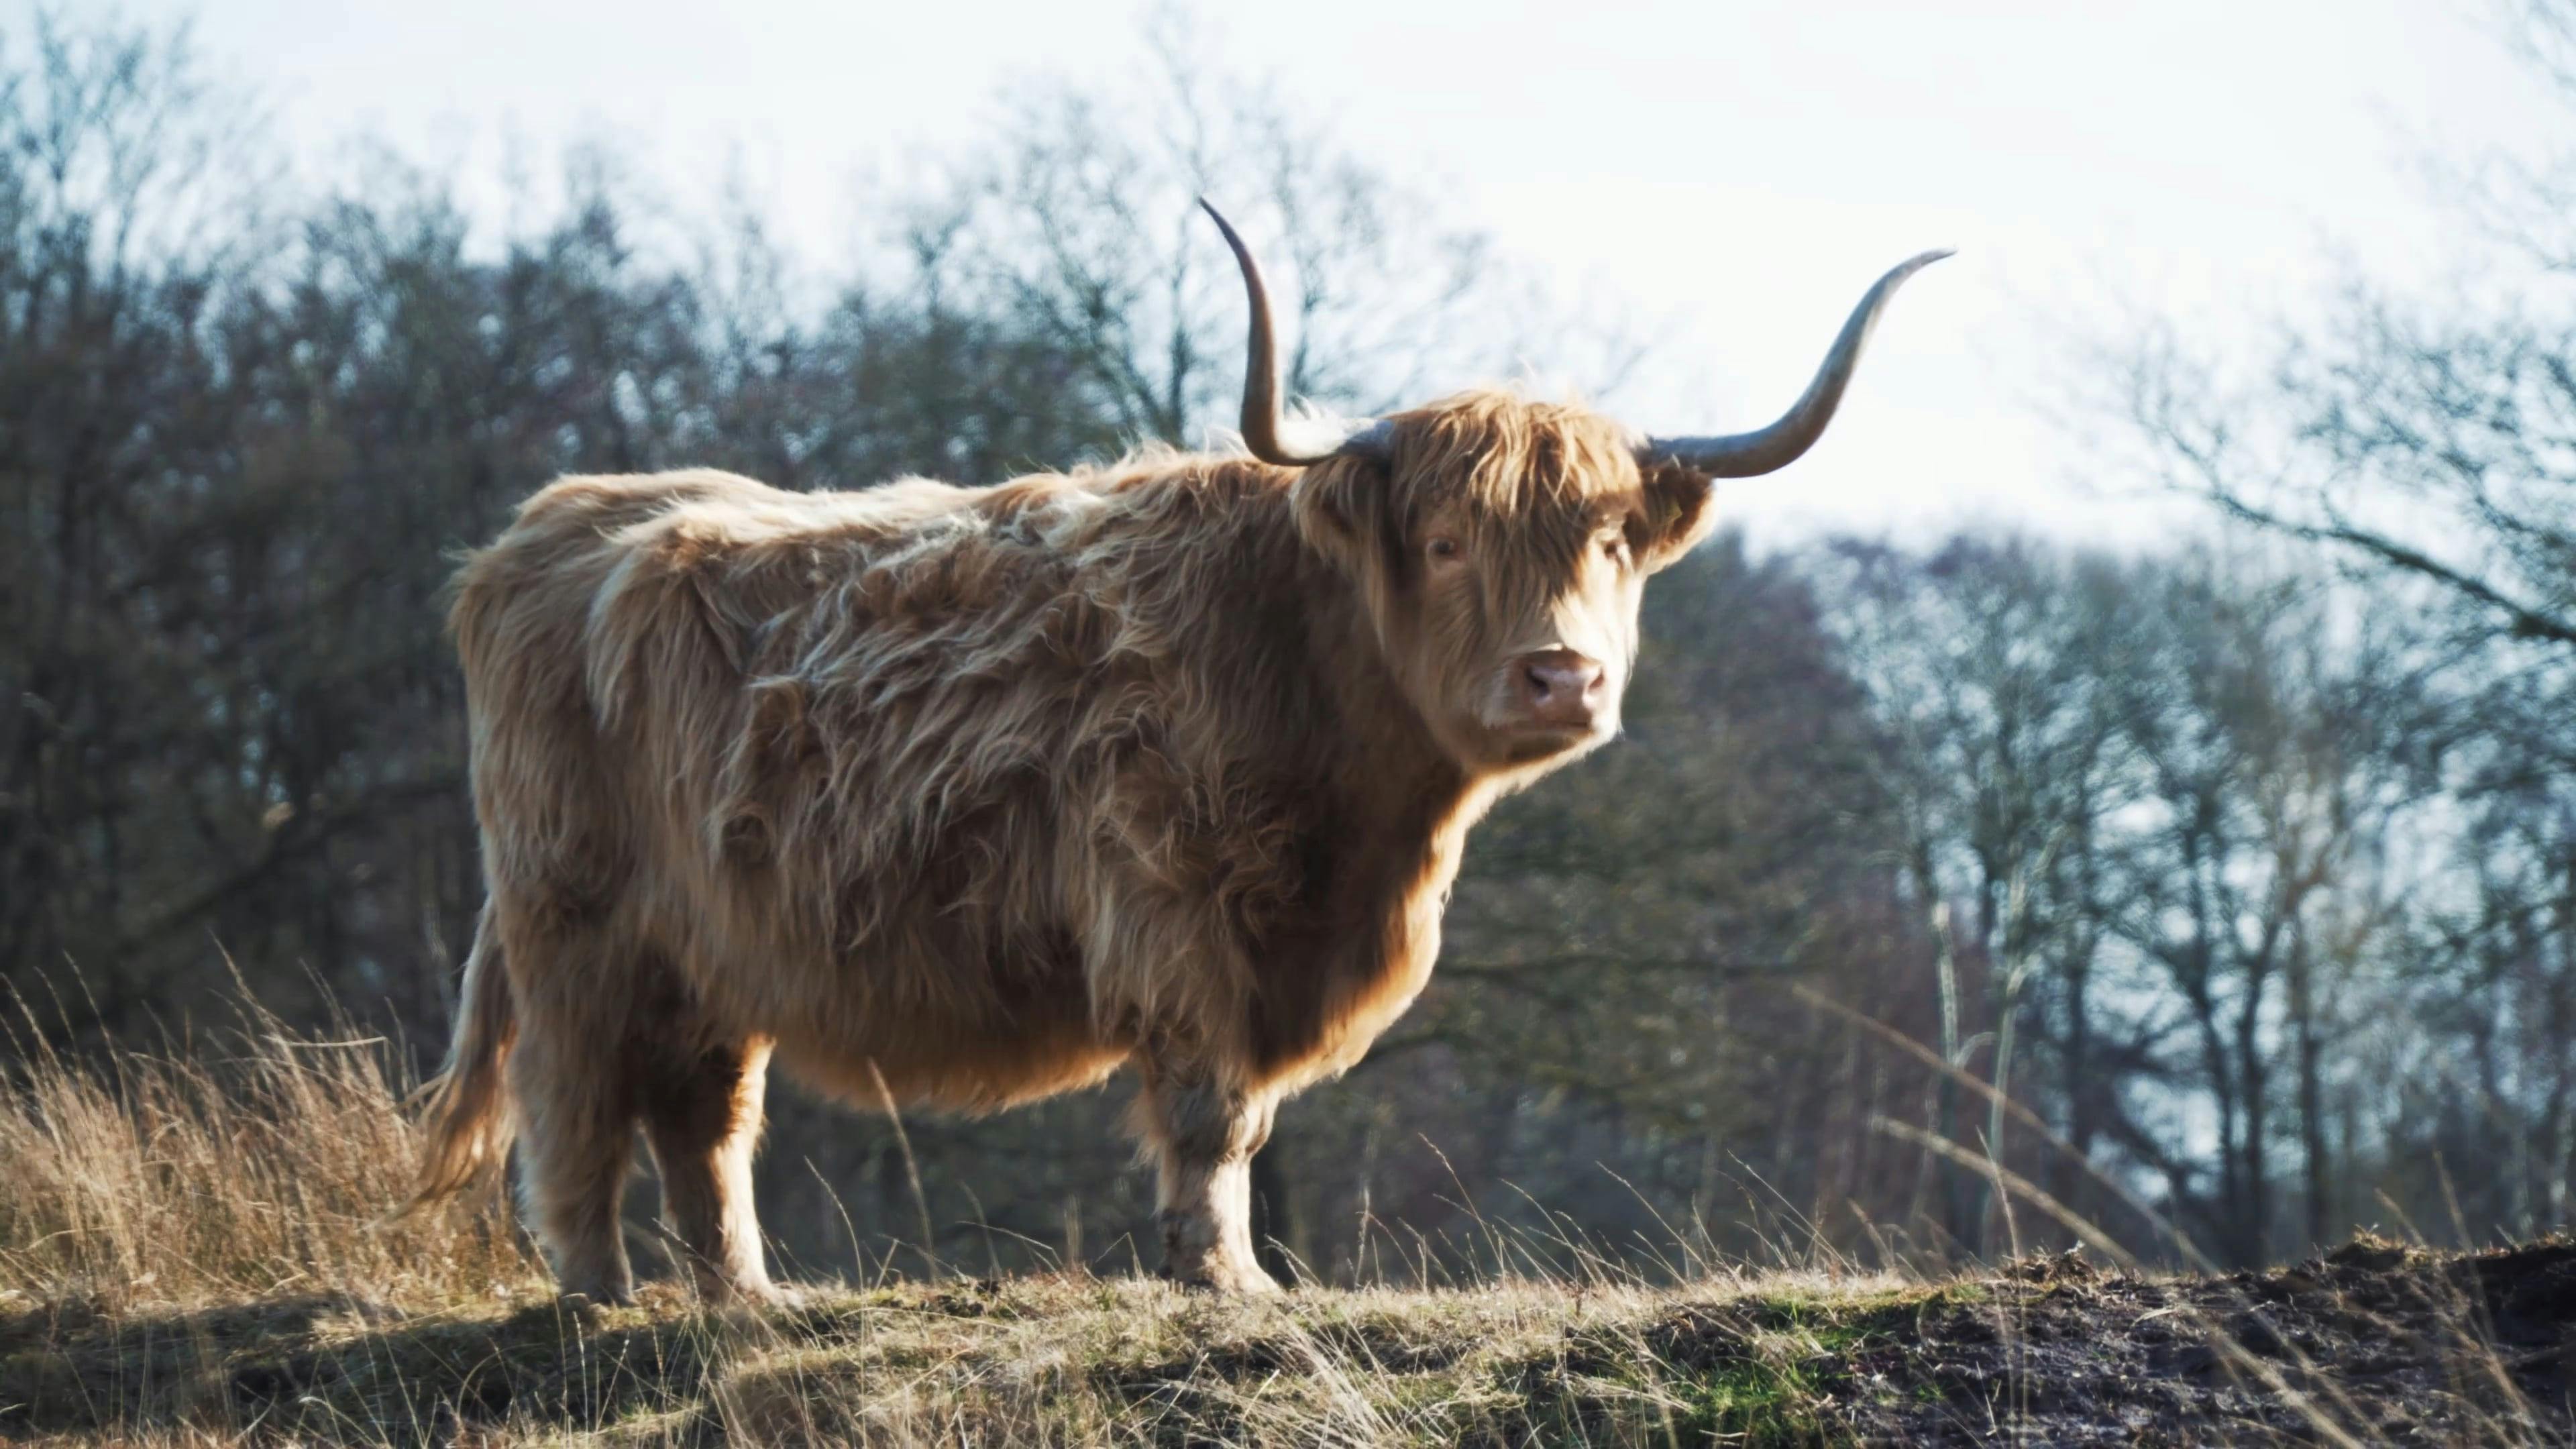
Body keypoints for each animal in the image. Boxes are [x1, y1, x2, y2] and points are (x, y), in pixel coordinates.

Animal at [402, 200, 1943, 1302]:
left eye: (1614, 542)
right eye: (1448, 543)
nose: (1562, 674)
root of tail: (548, 526)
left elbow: (1242, 1115)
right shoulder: (1177, 901)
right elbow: (1213, 1117)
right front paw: (1230, 1279)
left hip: (710, 941)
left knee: (702, 1113)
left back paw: (742, 1299)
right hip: (576, 922)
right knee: (577, 1104)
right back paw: (601, 1297)